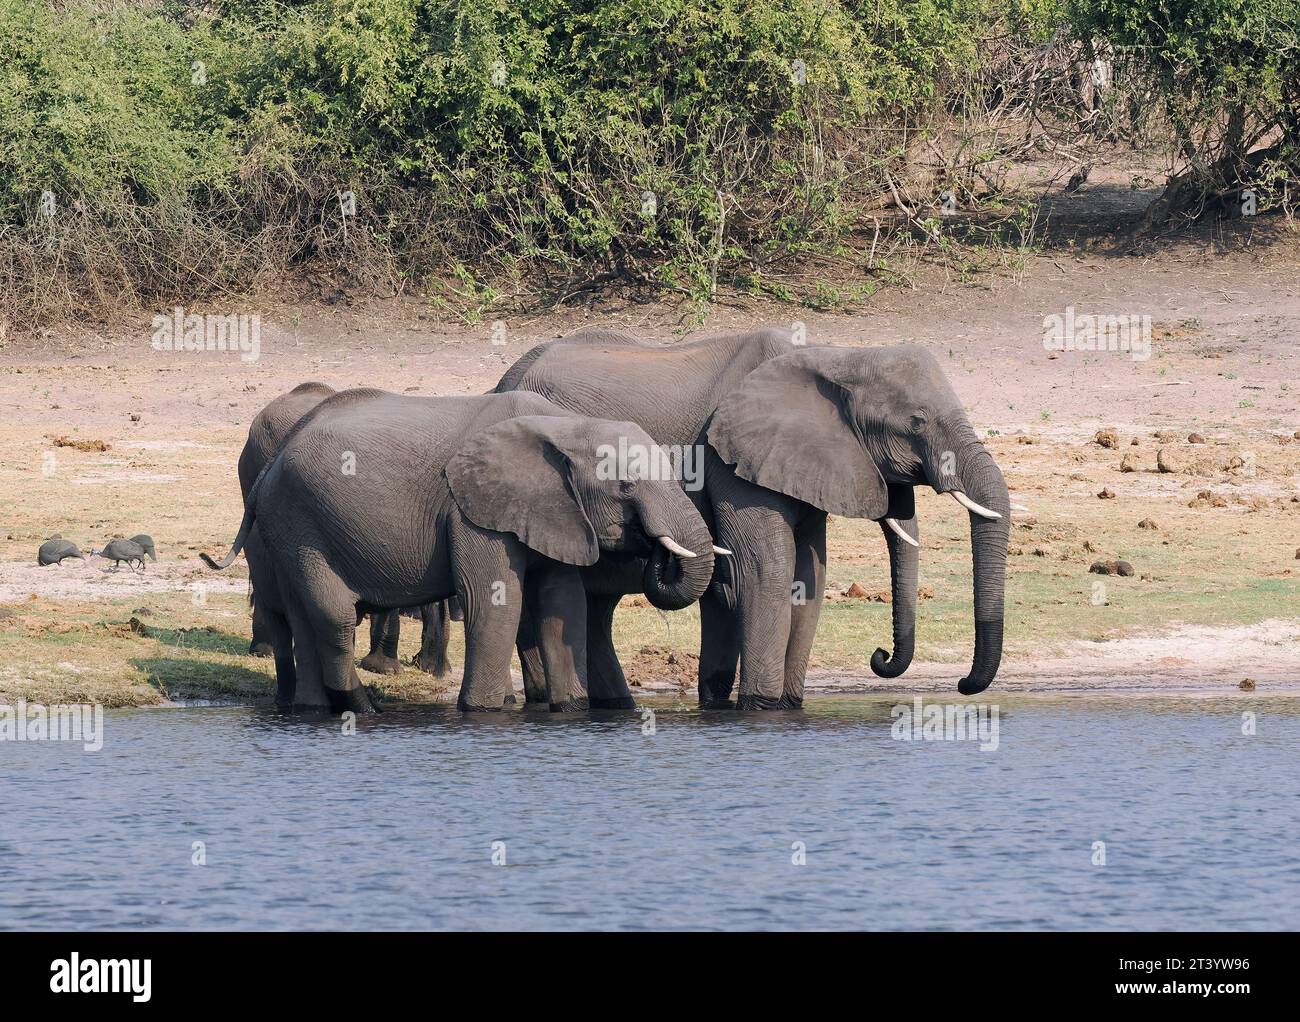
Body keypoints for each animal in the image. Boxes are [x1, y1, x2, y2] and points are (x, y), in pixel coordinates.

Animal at [495, 329, 1009, 708]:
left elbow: (809, 575)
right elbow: (767, 570)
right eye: (916, 422)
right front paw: (762, 707)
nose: (880, 657)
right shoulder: (730, 461)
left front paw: (786, 705)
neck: (833, 357)